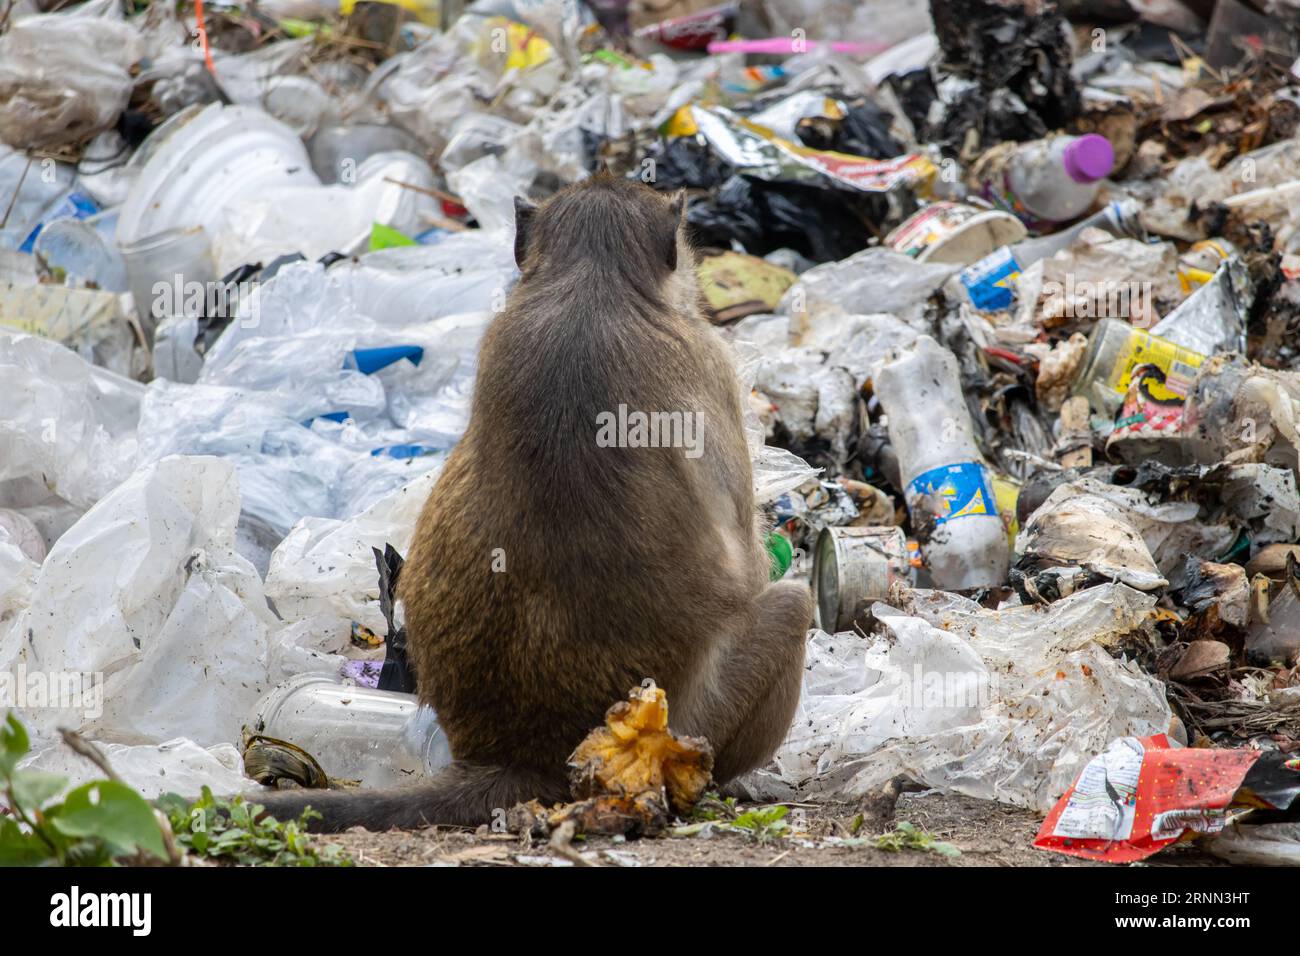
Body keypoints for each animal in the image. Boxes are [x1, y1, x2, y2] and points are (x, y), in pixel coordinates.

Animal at [256, 172, 812, 832]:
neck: (593, 279)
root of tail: (524, 756)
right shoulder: (710, 366)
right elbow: (747, 569)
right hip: (698, 726)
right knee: (790, 606)